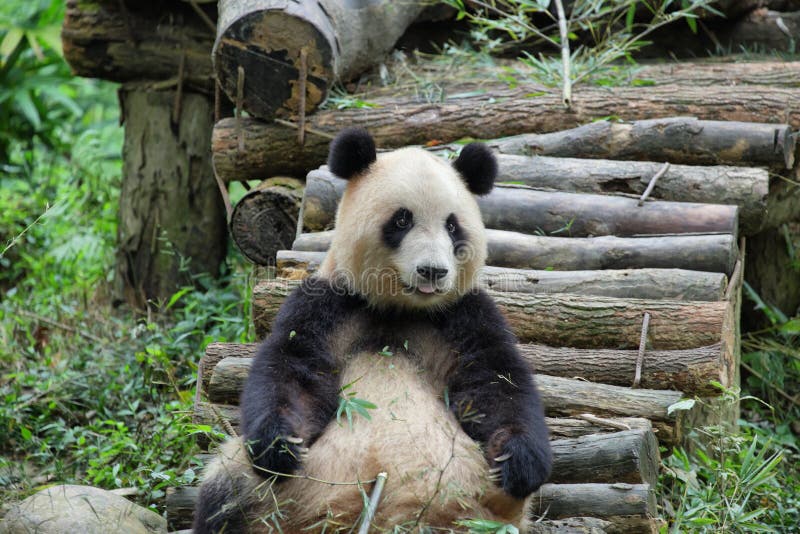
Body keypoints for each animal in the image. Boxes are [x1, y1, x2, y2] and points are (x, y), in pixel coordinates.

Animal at [193, 129, 553, 533]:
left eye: (452, 225)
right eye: (402, 220)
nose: (433, 271)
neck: (399, 309)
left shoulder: (462, 315)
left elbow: (495, 381)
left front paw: (520, 461)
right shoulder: (330, 304)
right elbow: (293, 370)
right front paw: (279, 445)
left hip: (483, 499)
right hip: (280, 492)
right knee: (227, 493)